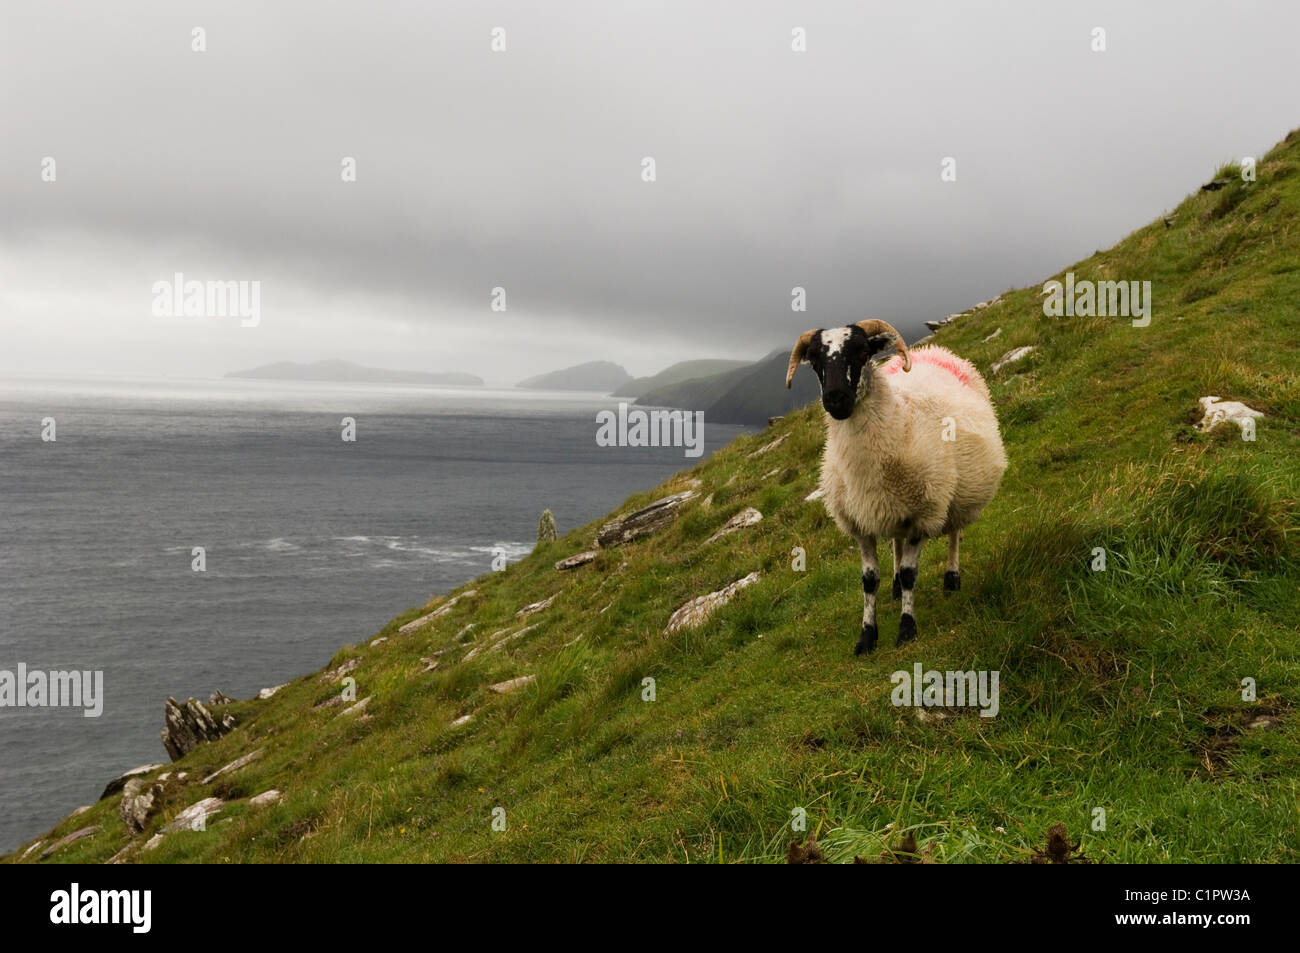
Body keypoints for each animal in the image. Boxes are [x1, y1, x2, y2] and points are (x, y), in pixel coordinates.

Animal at [786, 319, 1007, 654]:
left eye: (862, 352)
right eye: (814, 359)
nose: (835, 399)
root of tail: (934, 350)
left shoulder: (923, 515)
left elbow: (909, 574)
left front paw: (906, 629)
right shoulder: (859, 523)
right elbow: (869, 580)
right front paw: (866, 636)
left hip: (957, 494)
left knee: (954, 532)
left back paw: (951, 578)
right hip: (892, 506)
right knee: (896, 543)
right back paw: (893, 587)